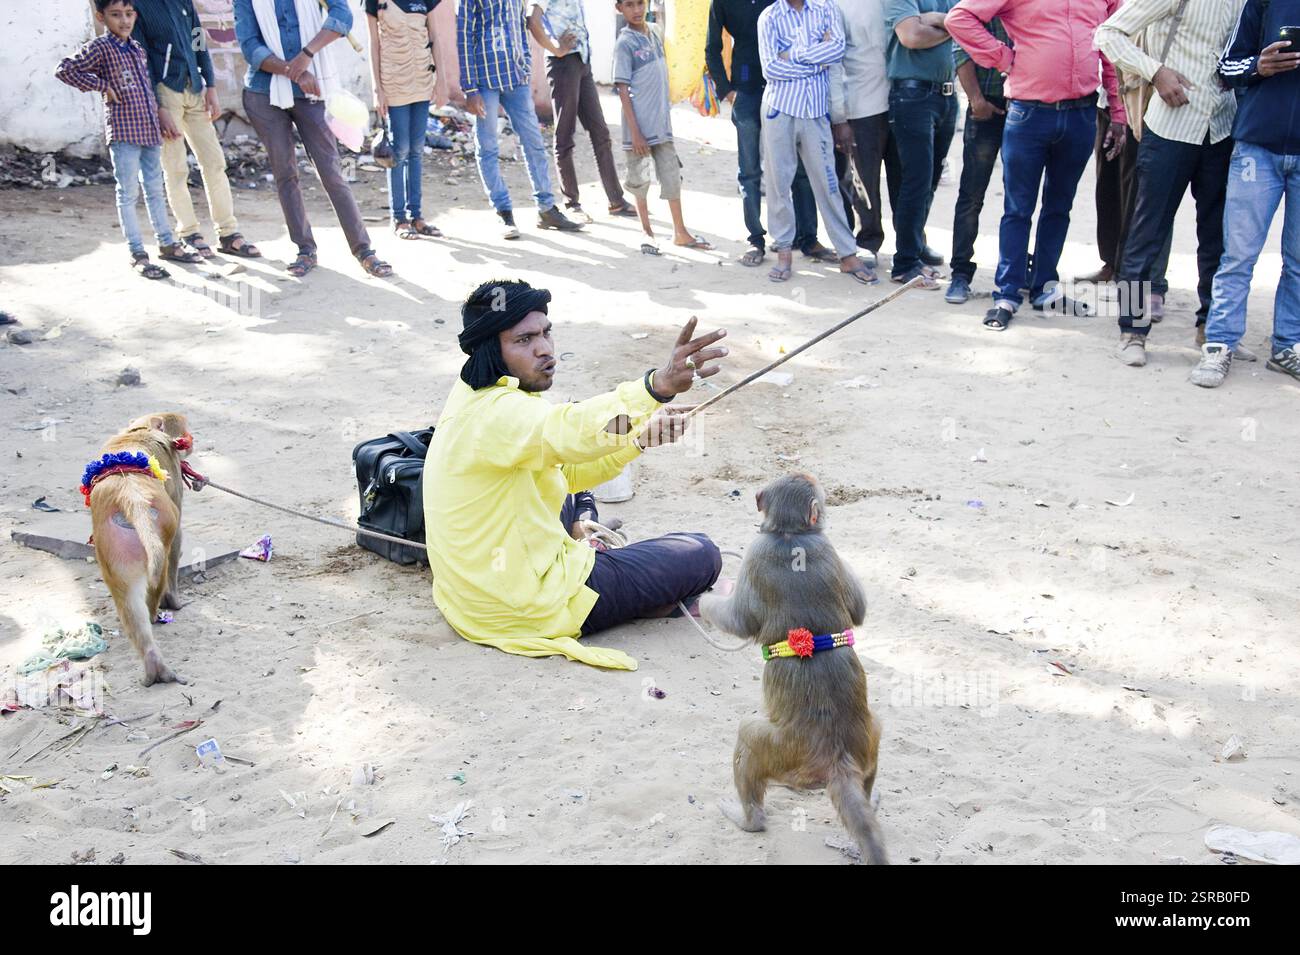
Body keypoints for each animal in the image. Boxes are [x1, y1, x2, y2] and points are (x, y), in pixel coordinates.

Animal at [85, 412, 194, 686]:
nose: (190, 440)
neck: (139, 430)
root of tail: (131, 498)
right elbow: (178, 540)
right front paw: (175, 601)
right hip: (159, 527)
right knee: (161, 568)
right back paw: (158, 611)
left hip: (113, 547)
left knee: (127, 599)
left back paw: (153, 664)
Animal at [700, 472, 887, 865]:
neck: (790, 533)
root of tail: (837, 756)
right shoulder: (827, 547)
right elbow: (859, 610)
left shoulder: (756, 551)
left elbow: (739, 621)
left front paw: (706, 602)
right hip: (862, 742)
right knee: (875, 729)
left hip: (783, 750)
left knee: (749, 735)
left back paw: (749, 820)